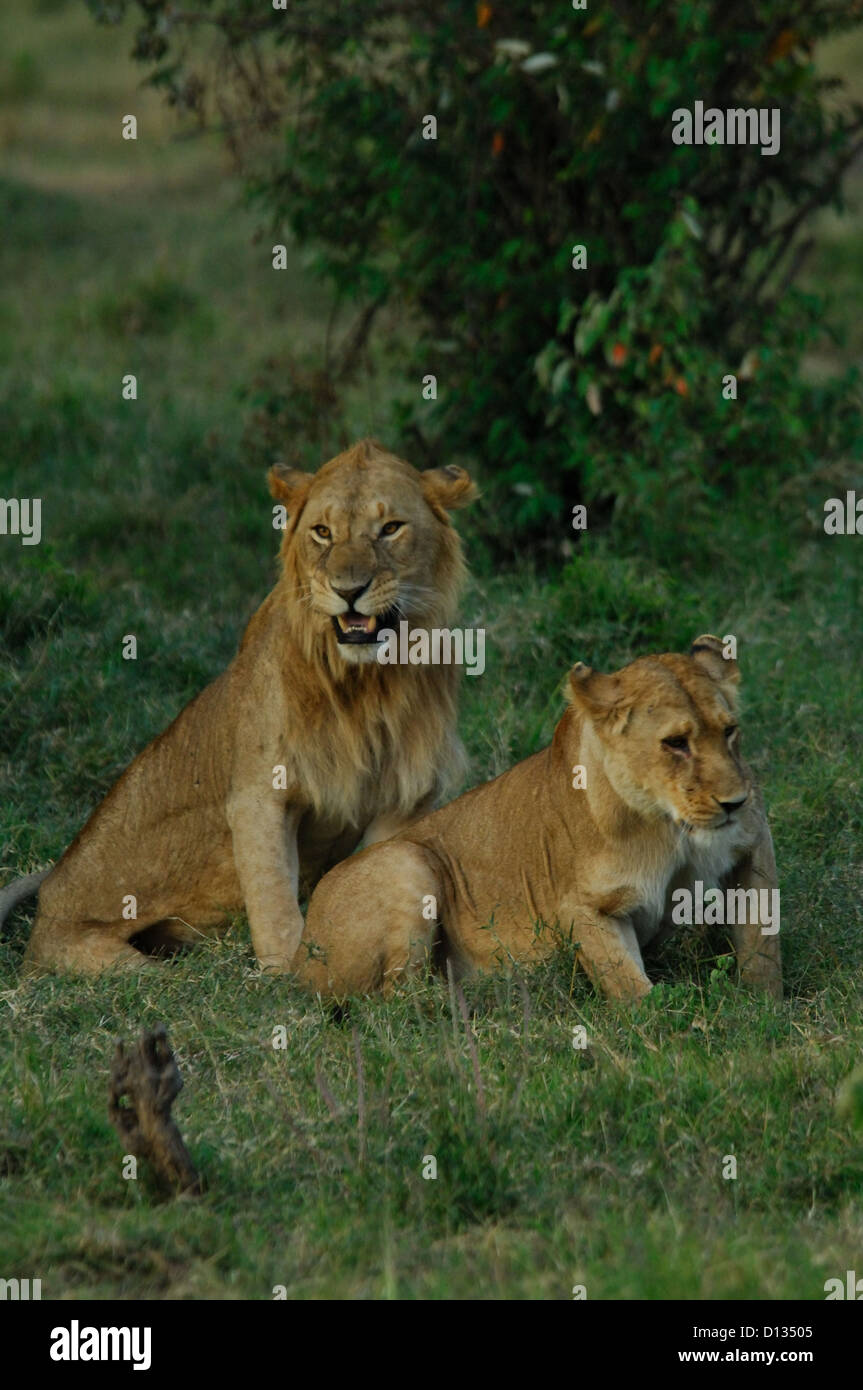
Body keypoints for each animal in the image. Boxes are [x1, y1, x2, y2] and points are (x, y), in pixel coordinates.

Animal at [1, 439, 477, 974]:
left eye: (391, 528)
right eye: (322, 532)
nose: (348, 590)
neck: (368, 682)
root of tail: (48, 900)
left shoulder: (405, 797)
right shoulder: (259, 794)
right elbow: (274, 903)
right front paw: (289, 976)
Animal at [295, 636, 783, 1002]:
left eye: (729, 731)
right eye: (676, 743)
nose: (736, 802)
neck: (668, 826)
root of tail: (298, 958)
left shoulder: (754, 845)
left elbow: (761, 939)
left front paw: (763, 1007)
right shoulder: (580, 906)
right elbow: (635, 993)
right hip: (406, 862)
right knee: (395, 1002)